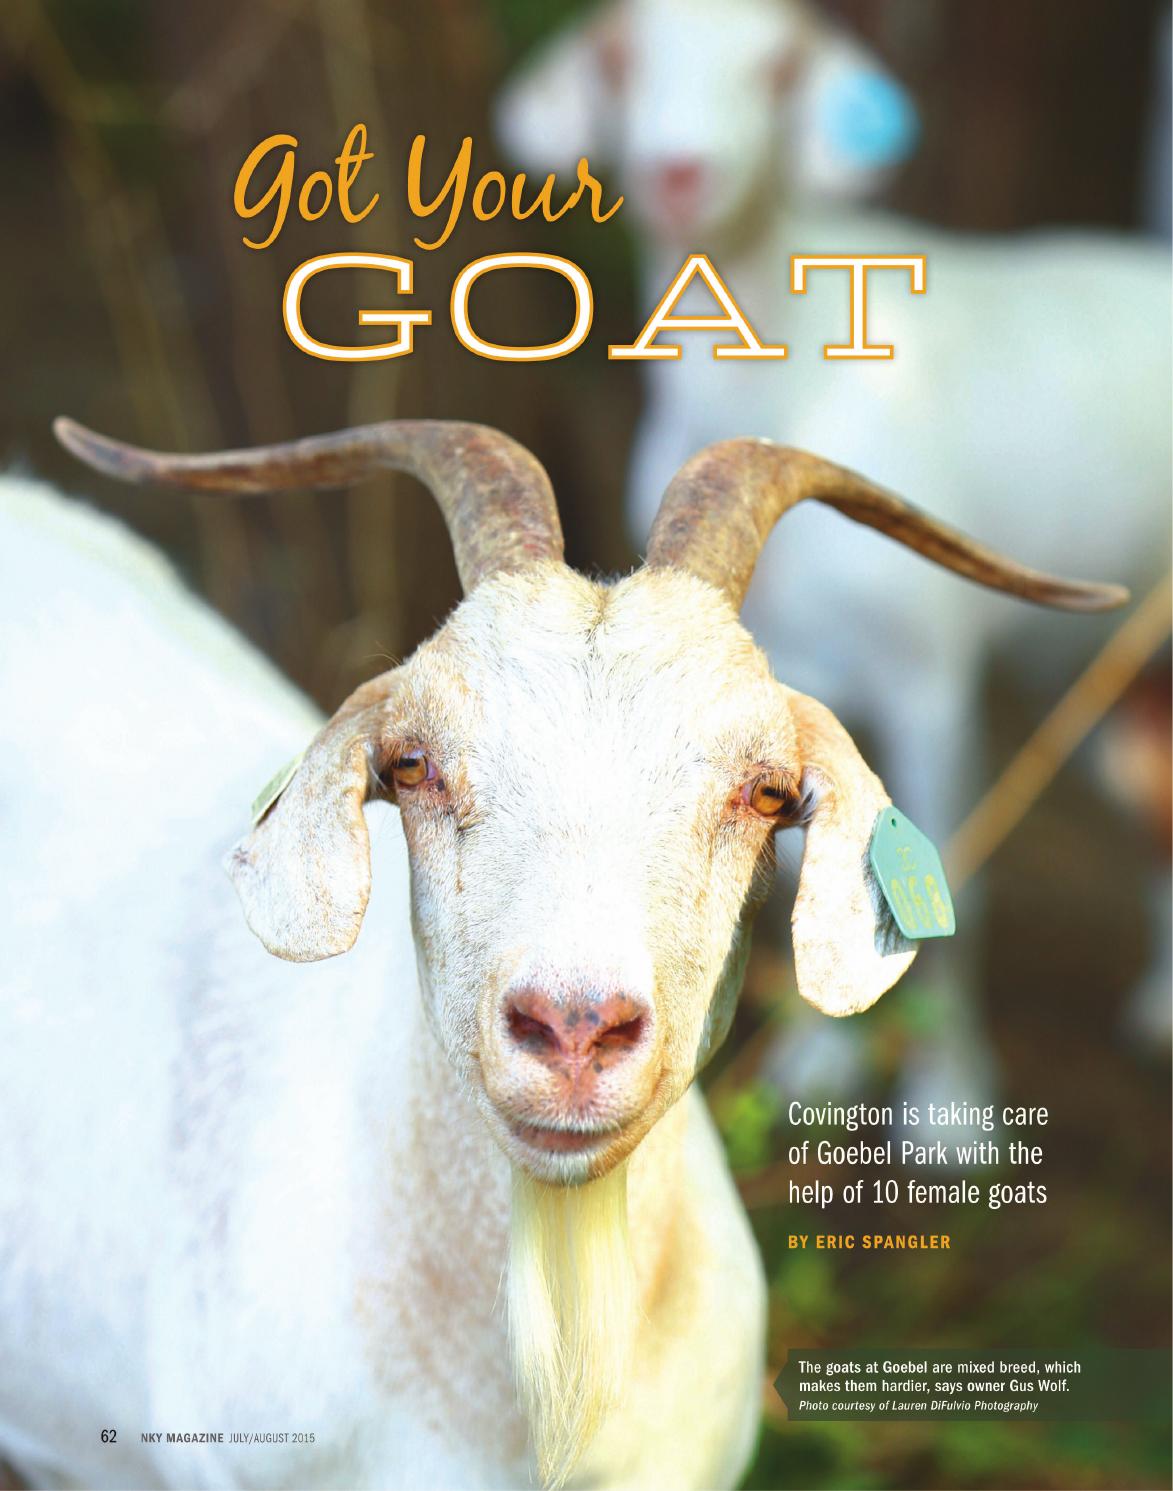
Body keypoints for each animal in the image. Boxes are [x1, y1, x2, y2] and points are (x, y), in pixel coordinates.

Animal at [496, 0, 1173, 1101]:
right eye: (621, 59)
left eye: (777, 70)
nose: (680, 171)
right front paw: (816, 1064)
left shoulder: (925, 676)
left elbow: (946, 883)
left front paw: (949, 1110)